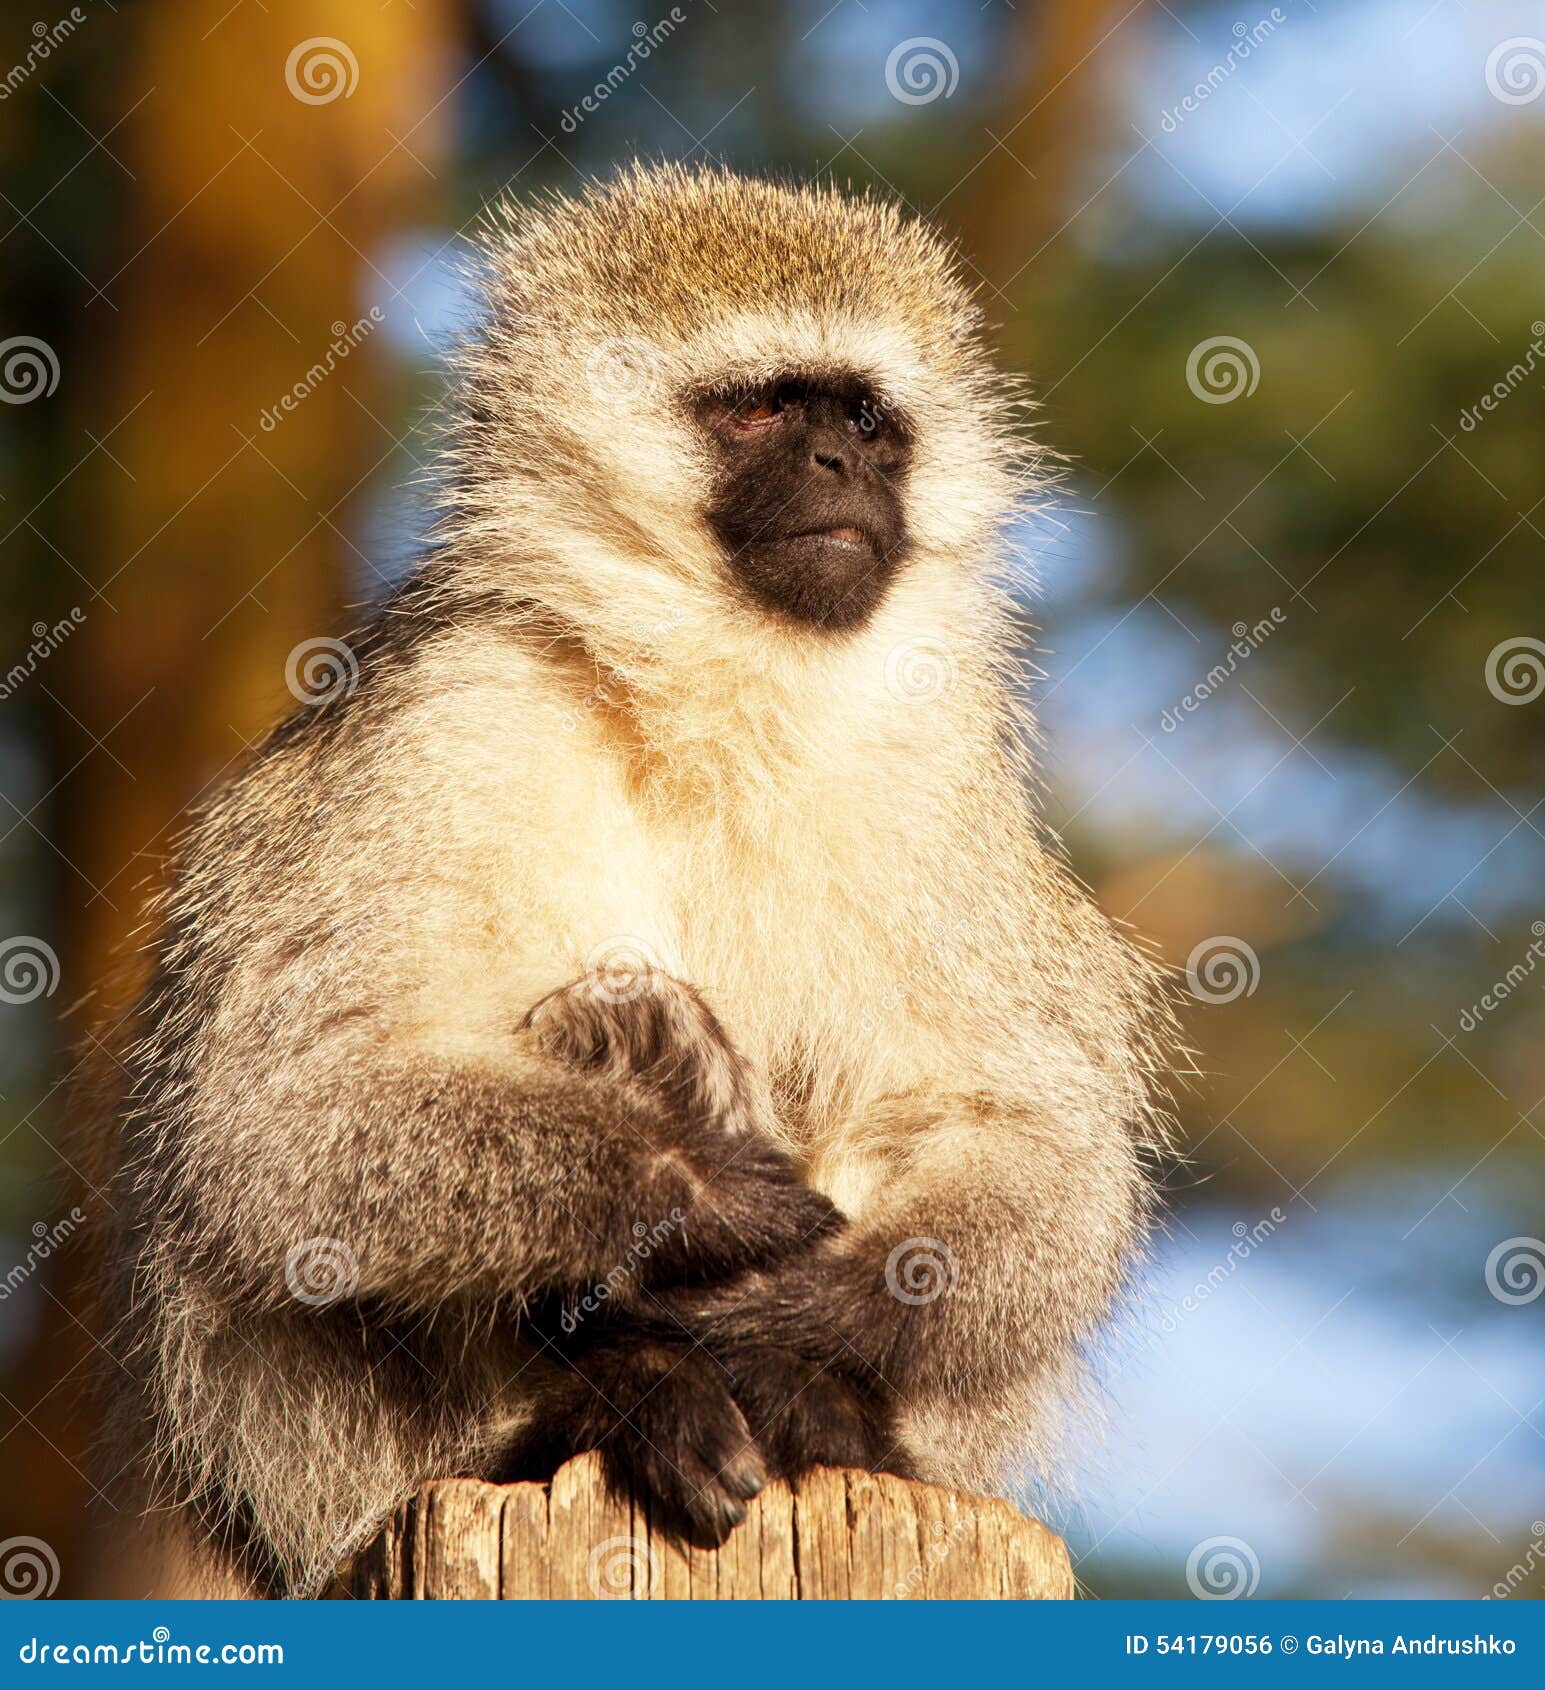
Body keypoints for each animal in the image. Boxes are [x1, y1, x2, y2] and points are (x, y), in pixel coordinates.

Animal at [88, 162, 1176, 1599]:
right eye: (763, 408)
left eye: (866, 422)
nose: (839, 466)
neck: (713, 695)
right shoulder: (462, 707)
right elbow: (278, 1120)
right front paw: (702, 1204)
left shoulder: (940, 771)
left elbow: (1036, 1137)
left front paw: (809, 1306)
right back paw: (611, 1392)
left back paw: (806, 1402)